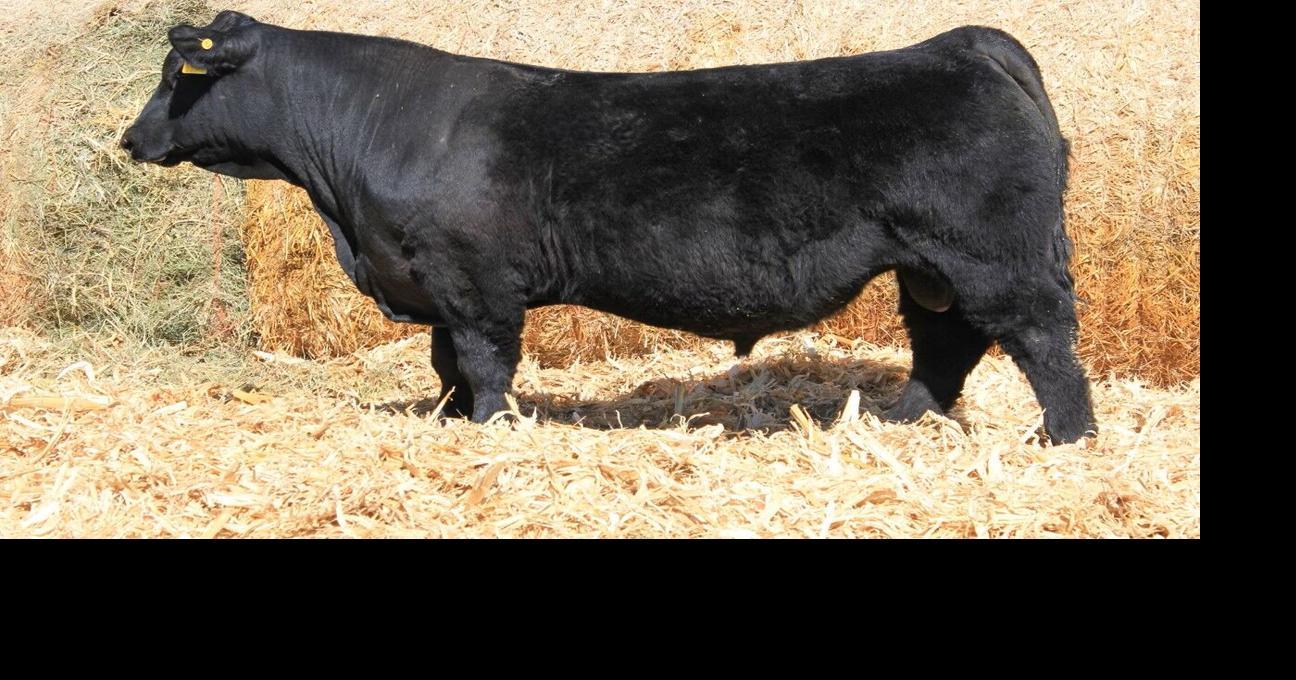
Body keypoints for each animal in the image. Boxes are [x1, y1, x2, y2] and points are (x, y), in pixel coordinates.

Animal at [121, 11, 1097, 443]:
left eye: (177, 75)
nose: (131, 139)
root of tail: (964, 43)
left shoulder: (475, 283)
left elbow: (483, 362)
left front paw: (492, 428)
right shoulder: (432, 279)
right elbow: (443, 365)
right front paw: (449, 421)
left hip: (996, 258)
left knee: (1043, 342)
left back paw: (1063, 436)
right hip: (933, 266)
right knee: (946, 345)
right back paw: (899, 421)